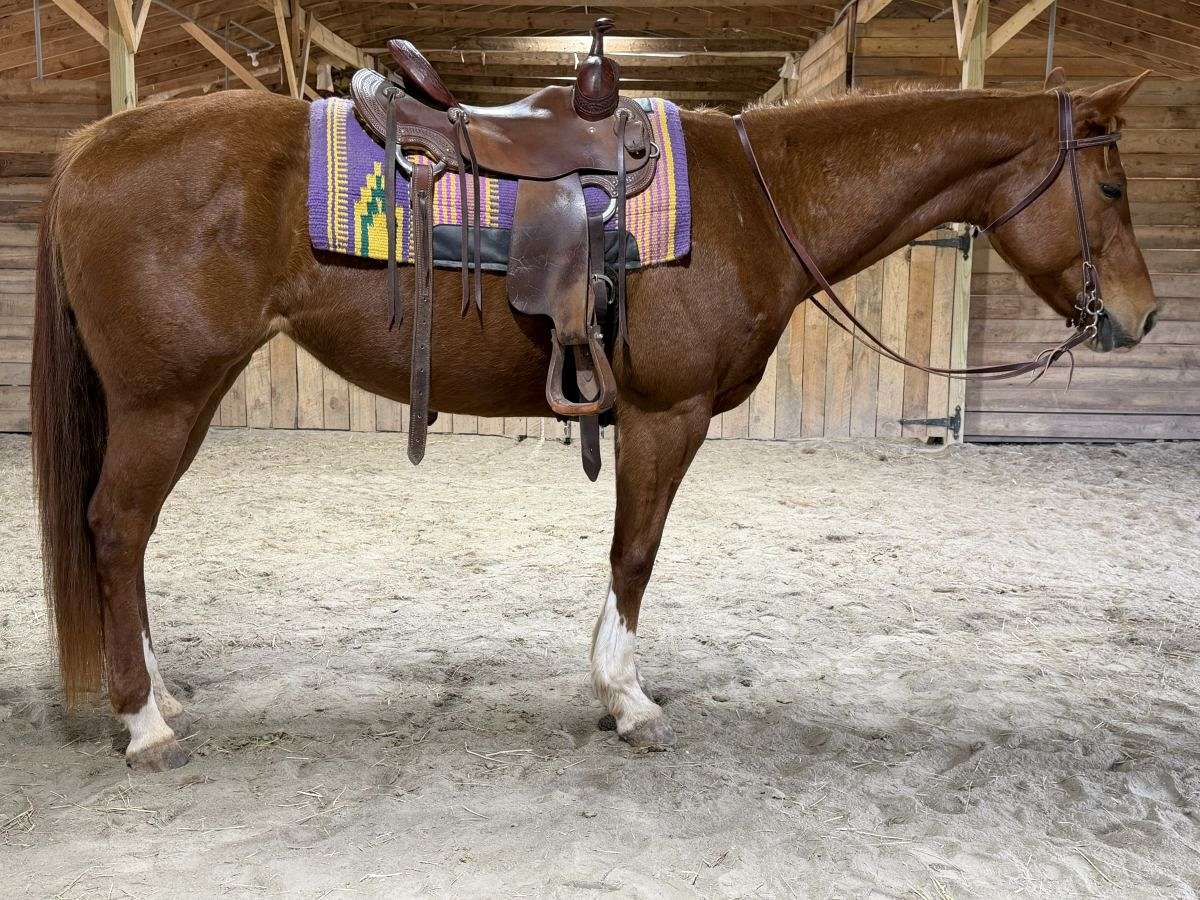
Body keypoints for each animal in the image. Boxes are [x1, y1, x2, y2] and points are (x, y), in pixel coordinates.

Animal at [31, 70, 1157, 770]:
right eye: (1109, 184)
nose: (1142, 317)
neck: (759, 200)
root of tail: (90, 140)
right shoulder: (667, 416)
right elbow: (636, 554)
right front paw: (627, 698)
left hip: (187, 396)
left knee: (131, 537)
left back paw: (161, 692)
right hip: (164, 398)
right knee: (116, 529)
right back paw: (143, 722)